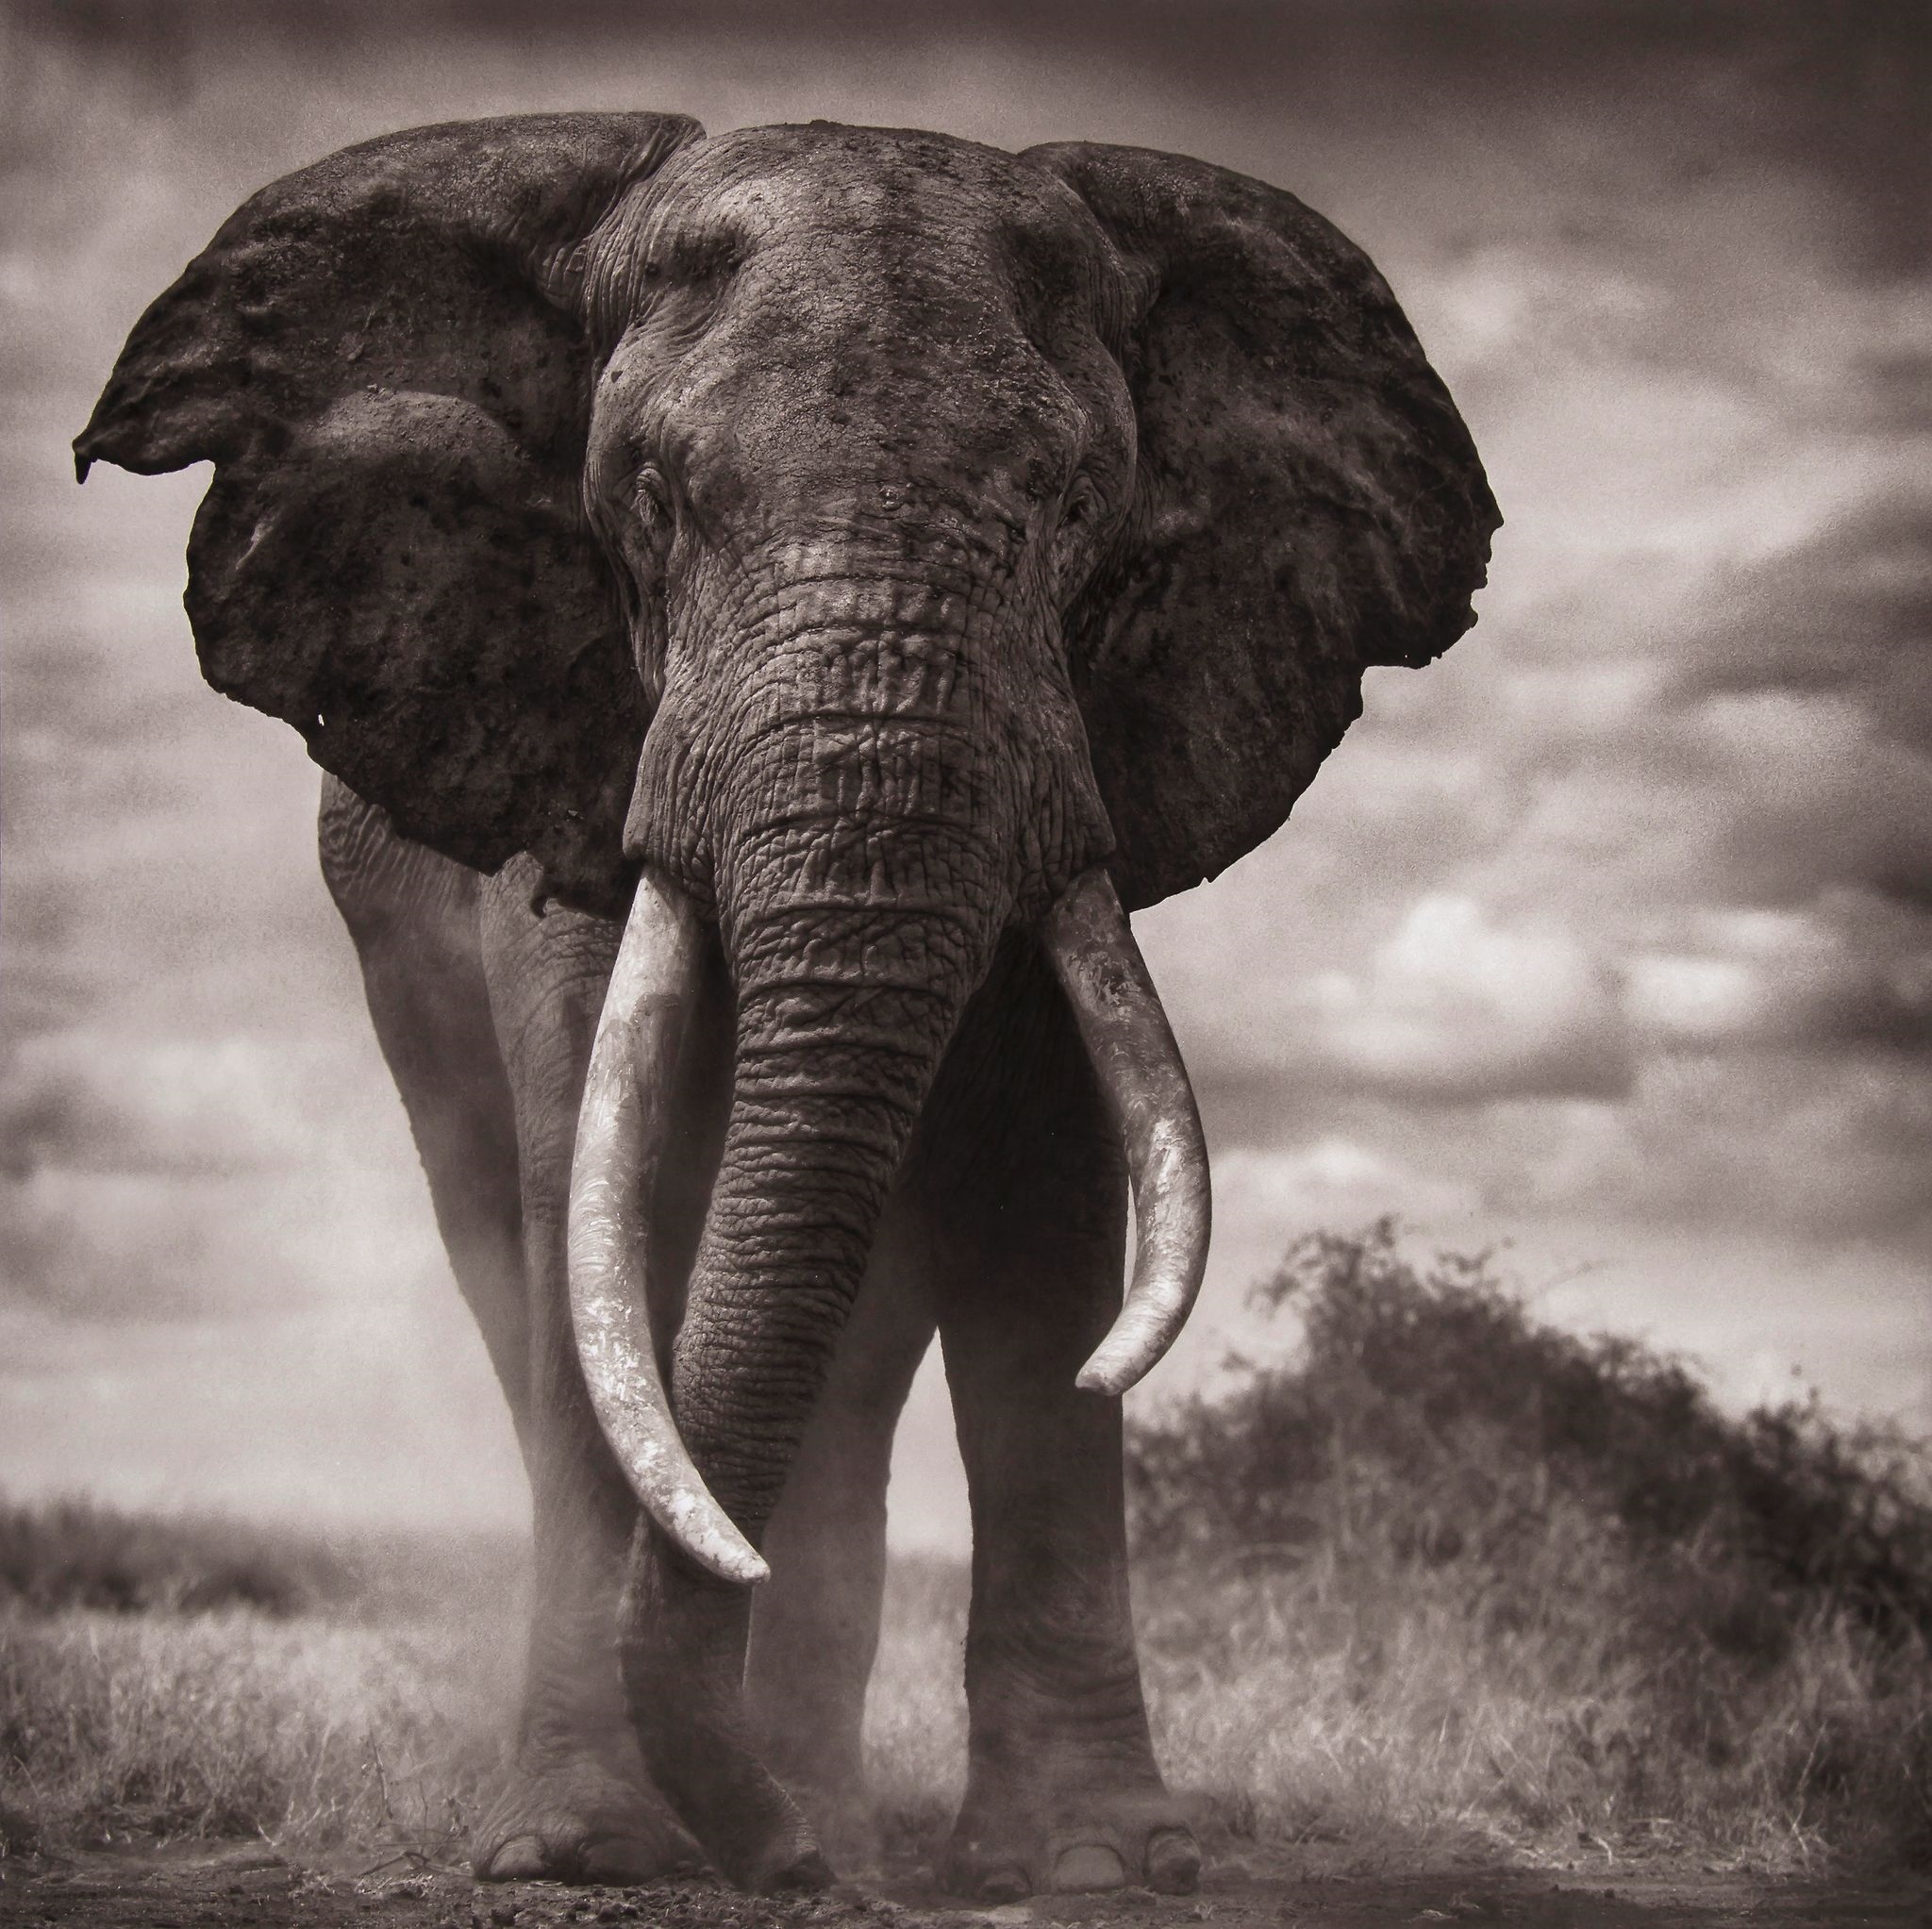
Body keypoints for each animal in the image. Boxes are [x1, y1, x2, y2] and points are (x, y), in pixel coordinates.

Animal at [77, 113, 1497, 1897]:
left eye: (1076, 506)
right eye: (651, 498)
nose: (781, 1872)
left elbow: (1045, 1207)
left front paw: (1096, 1865)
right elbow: (605, 1214)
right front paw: (590, 1849)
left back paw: (823, 1800)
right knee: (525, 1259)